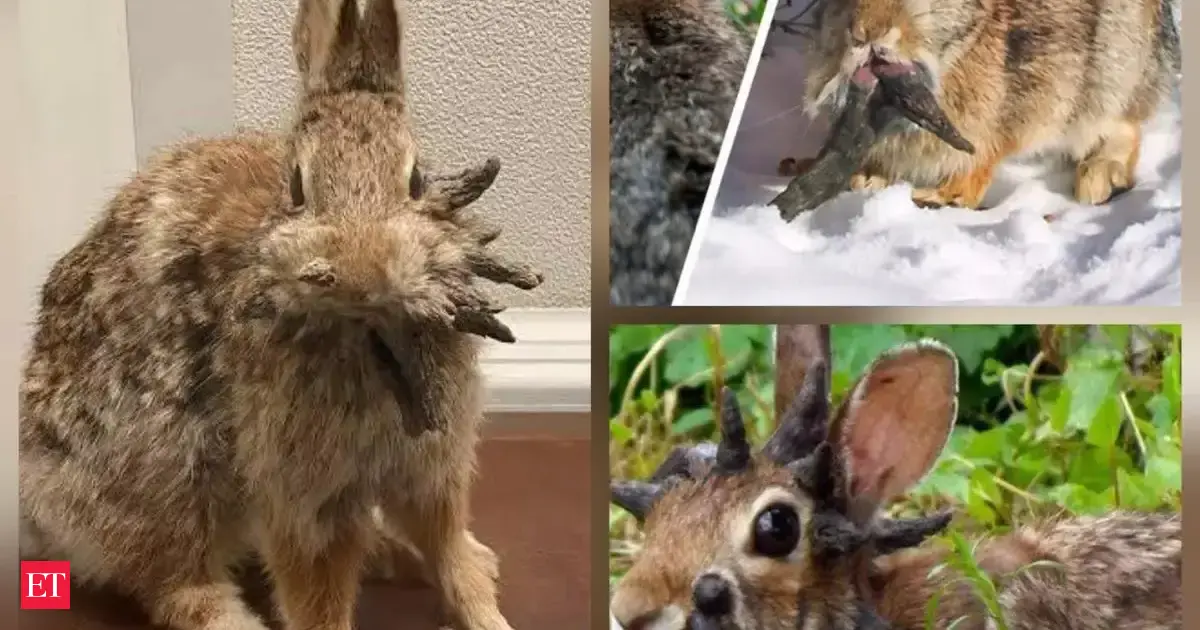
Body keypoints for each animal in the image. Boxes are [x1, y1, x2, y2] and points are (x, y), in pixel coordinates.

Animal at [18, 1, 543, 629]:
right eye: (296, 187)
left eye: (417, 181)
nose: (362, 269)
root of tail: (42, 509)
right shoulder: (302, 497)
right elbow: (317, 594)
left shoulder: (432, 468)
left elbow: (449, 553)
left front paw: (488, 612)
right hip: (165, 480)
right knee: (176, 584)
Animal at [795, 0, 1181, 209]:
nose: (867, 32)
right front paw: (865, 178)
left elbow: (984, 156)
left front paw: (943, 196)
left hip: (1113, 68)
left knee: (1123, 126)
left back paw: (1100, 178)